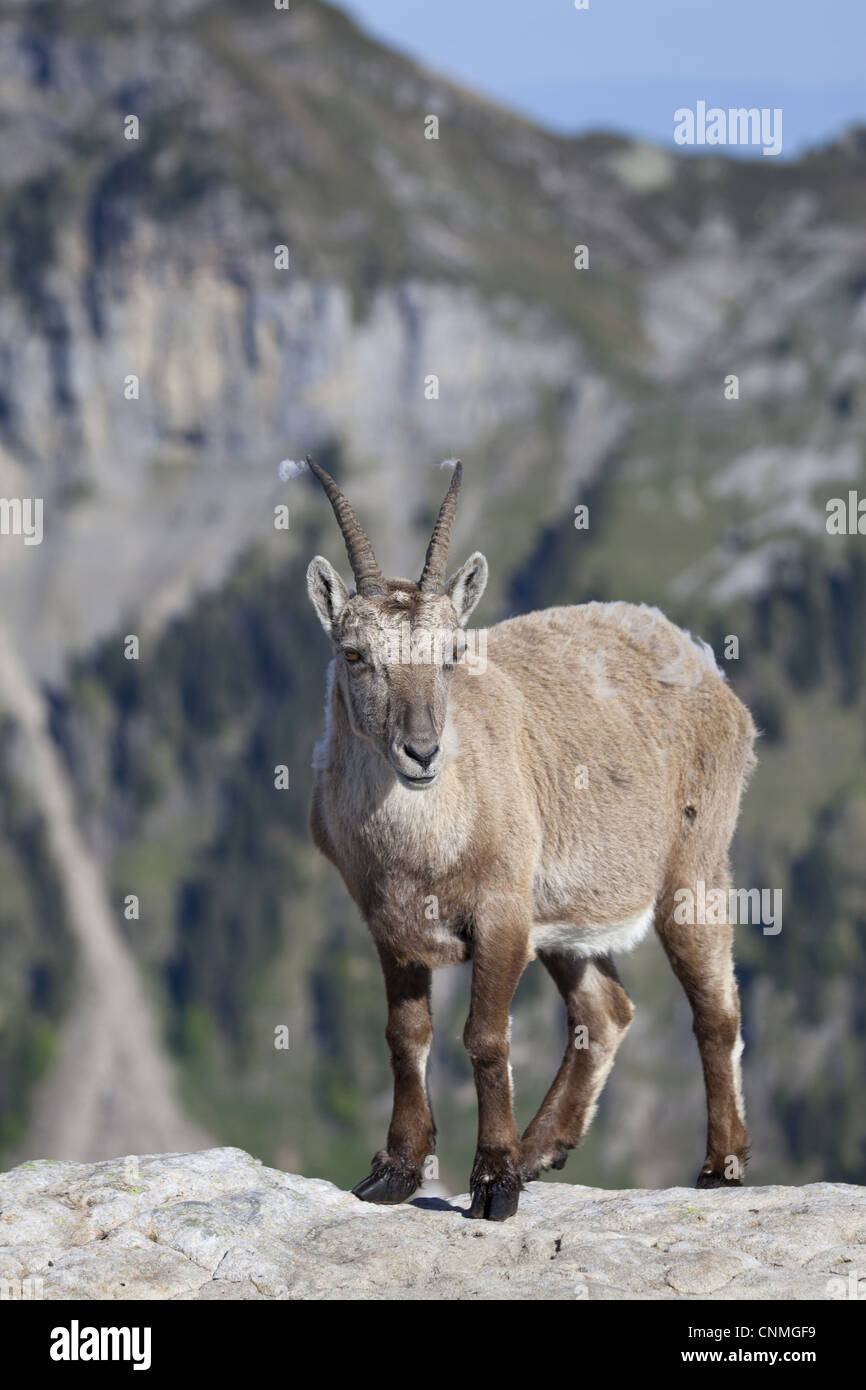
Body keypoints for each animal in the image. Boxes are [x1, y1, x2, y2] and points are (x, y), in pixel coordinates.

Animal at [305, 458, 756, 1220]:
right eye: (355, 653)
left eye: (453, 652)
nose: (421, 752)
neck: (420, 850)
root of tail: (700, 661)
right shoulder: (388, 924)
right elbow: (406, 1037)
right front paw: (396, 1170)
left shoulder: (502, 912)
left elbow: (486, 1038)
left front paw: (493, 1182)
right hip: (567, 921)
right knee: (606, 1011)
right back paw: (543, 1147)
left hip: (693, 870)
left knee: (715, 1009)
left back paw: (720, 1167)